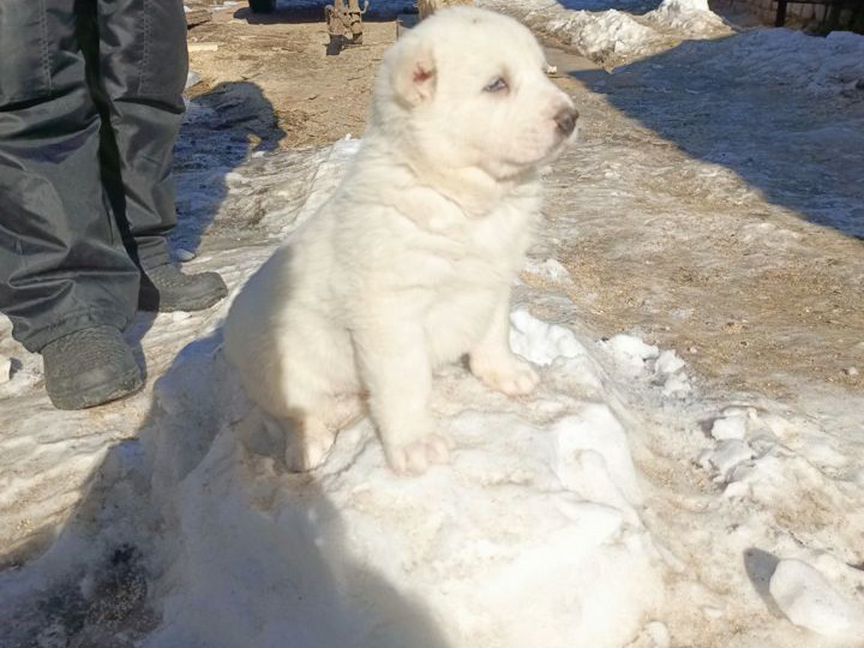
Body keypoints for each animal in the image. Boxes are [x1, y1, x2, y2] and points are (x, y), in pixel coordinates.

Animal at [226, 6, 576, 476]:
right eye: (497, 84)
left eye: (542, 71)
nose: (571, 118)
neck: (456, 196)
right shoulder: (391, 313)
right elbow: (404, 384)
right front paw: (416, 445)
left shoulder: (492, 279)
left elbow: (493, 332)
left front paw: (504, 373)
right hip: (276, 365)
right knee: (293, 414)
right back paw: (308, 446)